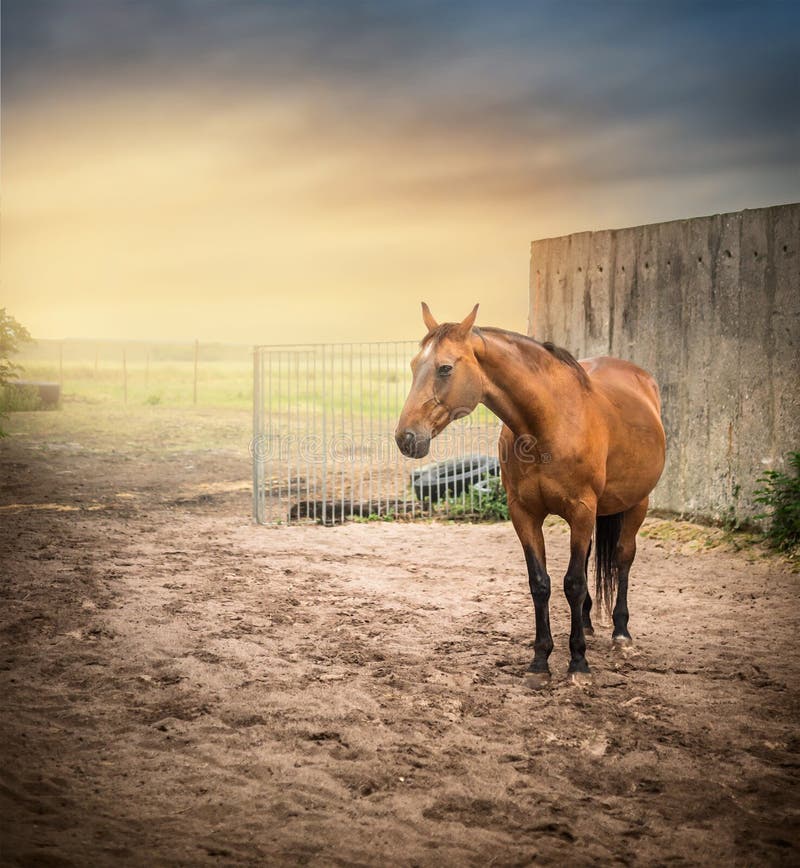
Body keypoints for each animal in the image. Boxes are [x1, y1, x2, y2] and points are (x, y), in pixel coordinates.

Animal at [395, 303, 666, 687]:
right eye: (414, 365)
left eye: (445, 368)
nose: (406, 437)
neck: (546, 424)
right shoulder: (524, 513)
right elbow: (541, 583)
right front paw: (540, 661)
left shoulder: (581, 509)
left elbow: (573, 583)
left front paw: (578, 663)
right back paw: (586, 624)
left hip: (636, 504)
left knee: (623, 558)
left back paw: (621, 634)